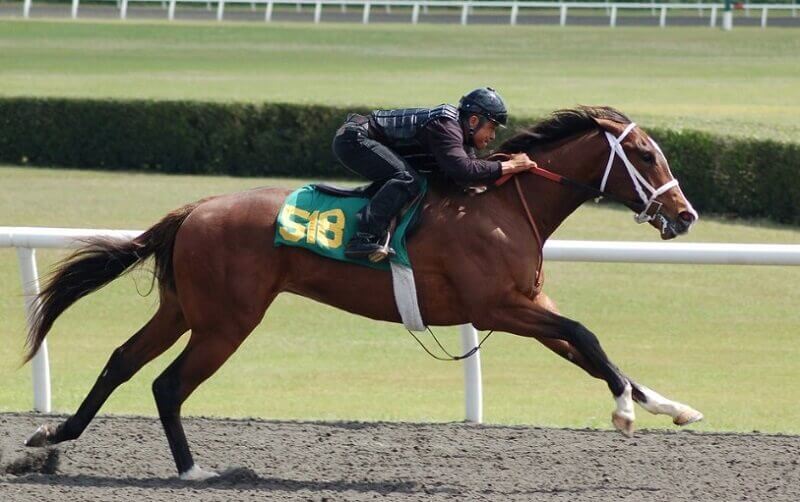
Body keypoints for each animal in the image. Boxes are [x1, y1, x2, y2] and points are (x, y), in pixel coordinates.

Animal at [22, 106, 703, 480]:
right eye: (645, 154)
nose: (686, 215)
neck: (505, 205)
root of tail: (194, 210)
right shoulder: (500, 308)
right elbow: (588, 337)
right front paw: (624, 412)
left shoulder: (531, 307)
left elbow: (593, 354)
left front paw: (670, 407)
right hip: (226, 321)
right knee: (167, 384)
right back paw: (193, 470)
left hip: (183, 308)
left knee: (120, 362)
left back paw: (49, 442)